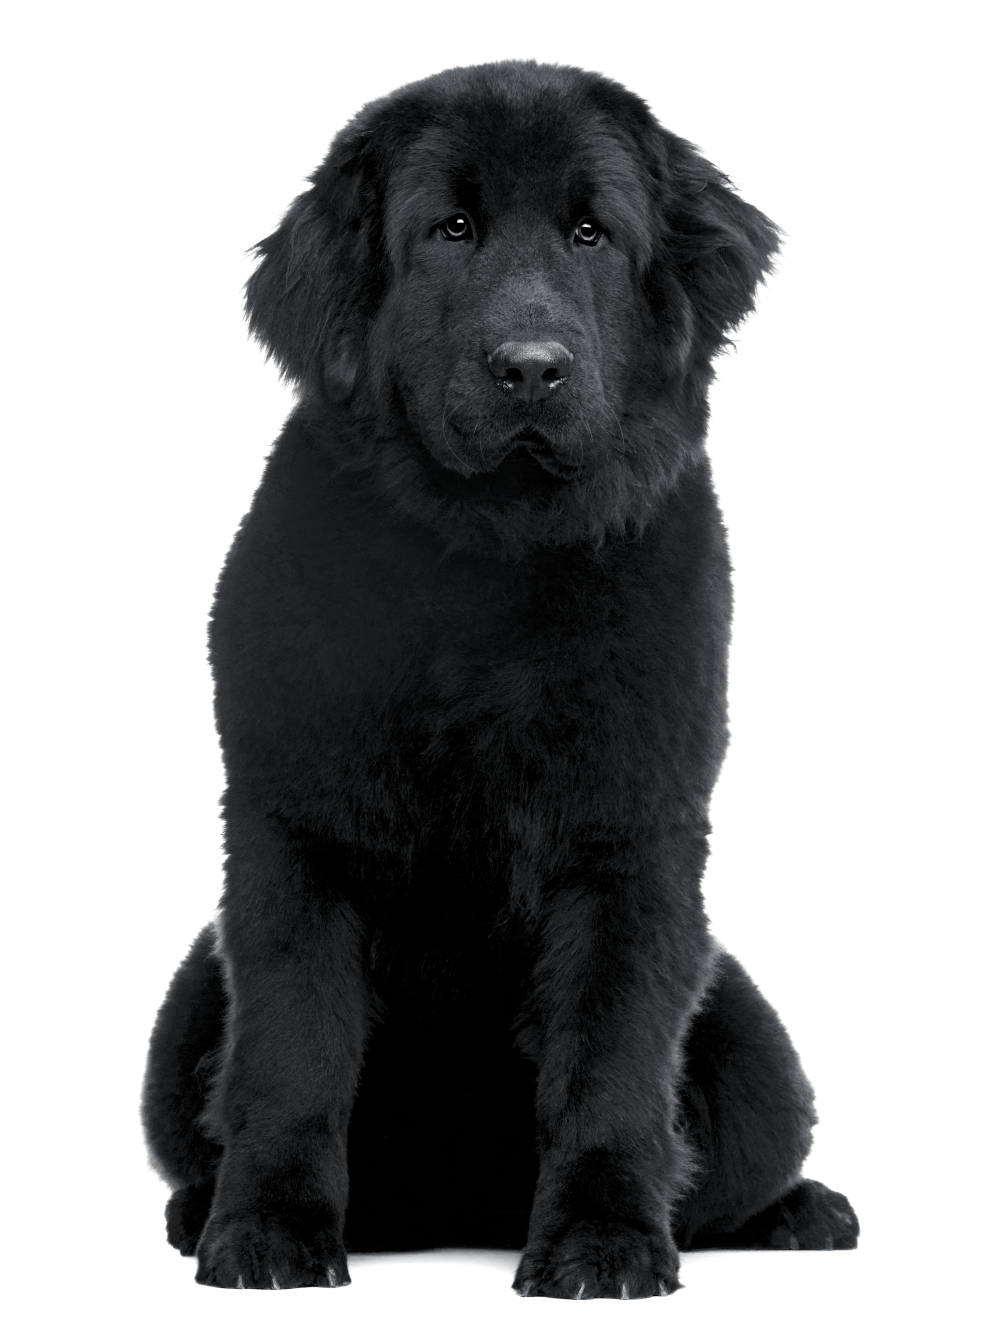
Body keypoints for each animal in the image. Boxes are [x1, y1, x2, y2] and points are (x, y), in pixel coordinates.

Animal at [141, 59, 860, 1298]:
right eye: (451, 229)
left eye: (590, 233)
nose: (532, 368)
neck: (489, 563)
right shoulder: (293, 834)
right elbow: (291, 1048)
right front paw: (269, 1232)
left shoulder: (631, 840)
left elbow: (613, 1058)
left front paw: (603, 1244)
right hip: (185, 1002)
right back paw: (207, 1210)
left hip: (755, 1044)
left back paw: (802, 1212)